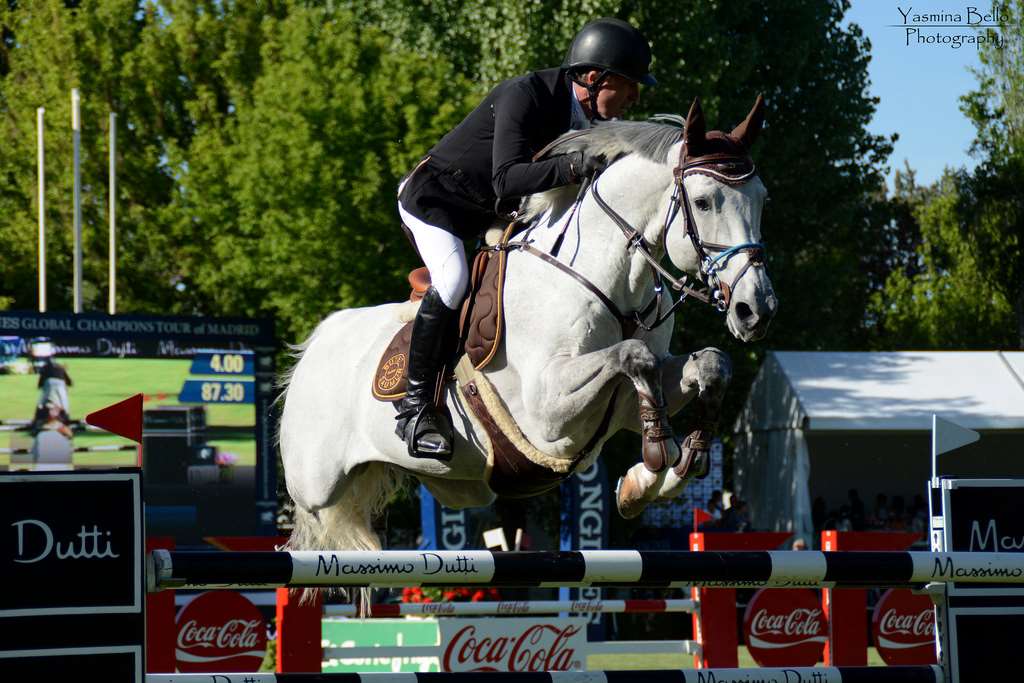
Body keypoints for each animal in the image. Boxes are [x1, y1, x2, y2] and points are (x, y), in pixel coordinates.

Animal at [279, 96, 777, 561]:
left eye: (762, 200)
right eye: (703, 202)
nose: (756, 310)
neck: (609, 283)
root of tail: (317, 341)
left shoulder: (618, 408)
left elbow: (709, 364)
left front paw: (657, 473)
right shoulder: (547, 415)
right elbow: (635, 356)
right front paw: (655, 460)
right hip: (316, 491)